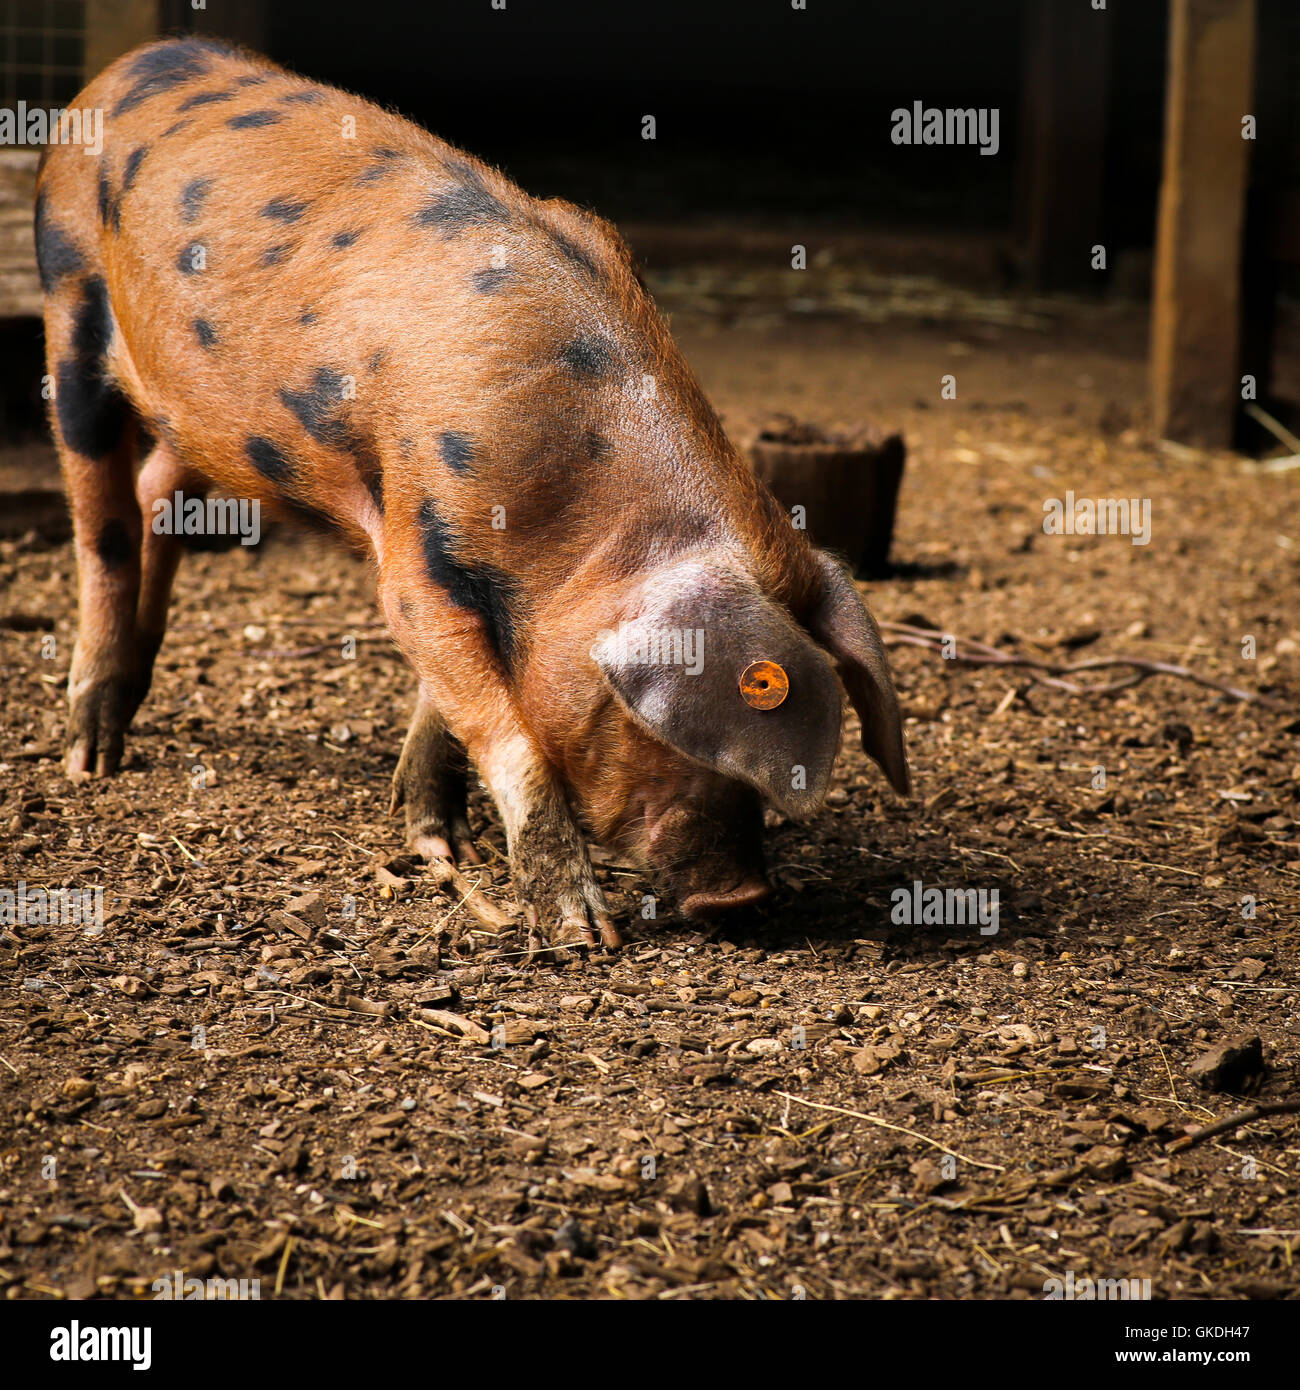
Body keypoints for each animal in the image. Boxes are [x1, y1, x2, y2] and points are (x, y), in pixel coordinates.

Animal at [36, 37, 910, 948]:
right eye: (643, 720)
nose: (742, 898)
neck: (572, 525)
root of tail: (131, 63)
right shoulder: (414, 556)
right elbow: (502, 726)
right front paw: (581, 933)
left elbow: (447, 705)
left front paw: (439, 836)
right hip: (69, 295)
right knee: (101, 520)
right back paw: (90, 759)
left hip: (202, 418)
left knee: (157, 488)